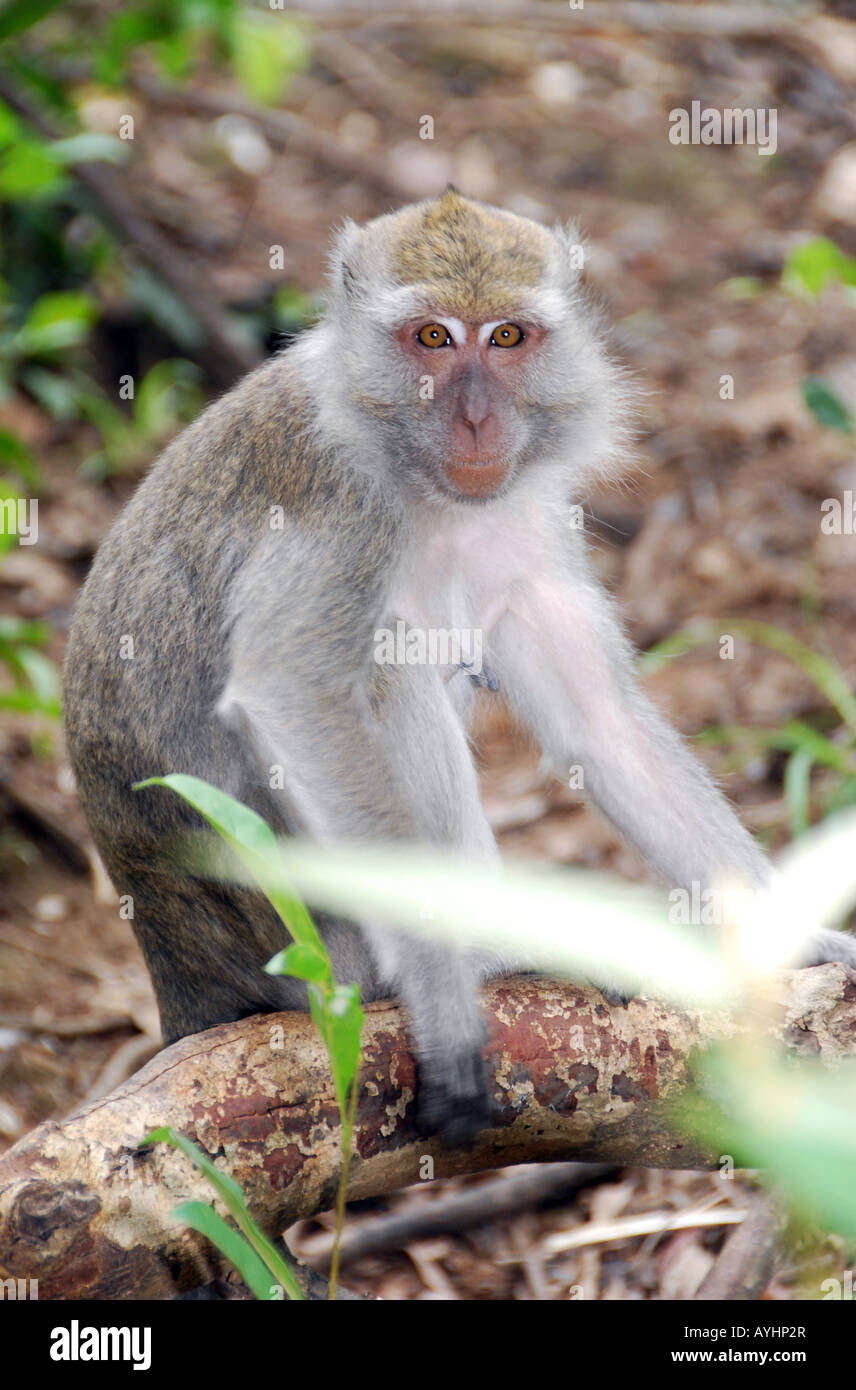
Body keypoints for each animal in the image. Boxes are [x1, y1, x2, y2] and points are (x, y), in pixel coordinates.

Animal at [63, 190, 856, 1142]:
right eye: (432, 338)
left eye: (507, 337)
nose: (477, 418)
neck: (424, 485)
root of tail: (177, 978)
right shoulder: (340, 500)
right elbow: (294, 690)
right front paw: (443, 995)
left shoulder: (530, 515)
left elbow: (601, 725)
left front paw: (791, 936)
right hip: (306, 943)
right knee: (385, 674)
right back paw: (484, 952)